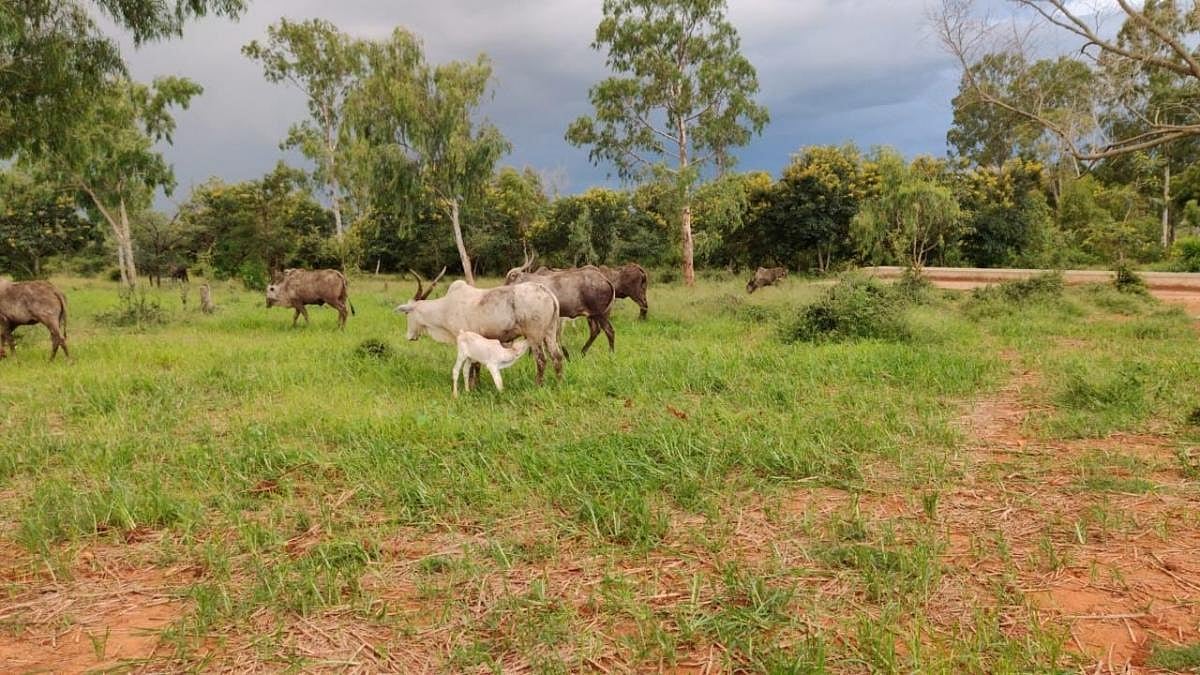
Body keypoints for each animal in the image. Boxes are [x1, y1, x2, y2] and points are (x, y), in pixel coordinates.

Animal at [394, 268, 564, 385]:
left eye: (407, 313)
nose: (409, 336)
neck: (446, 307)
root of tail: (545, 291)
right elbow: (476, 364)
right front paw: (477, 384)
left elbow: (472, 365)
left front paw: (472, 386)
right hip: (549, 333)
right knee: (557, 356)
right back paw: (558, 383)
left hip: (534, 336)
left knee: (541, 360)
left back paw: (538, 385)